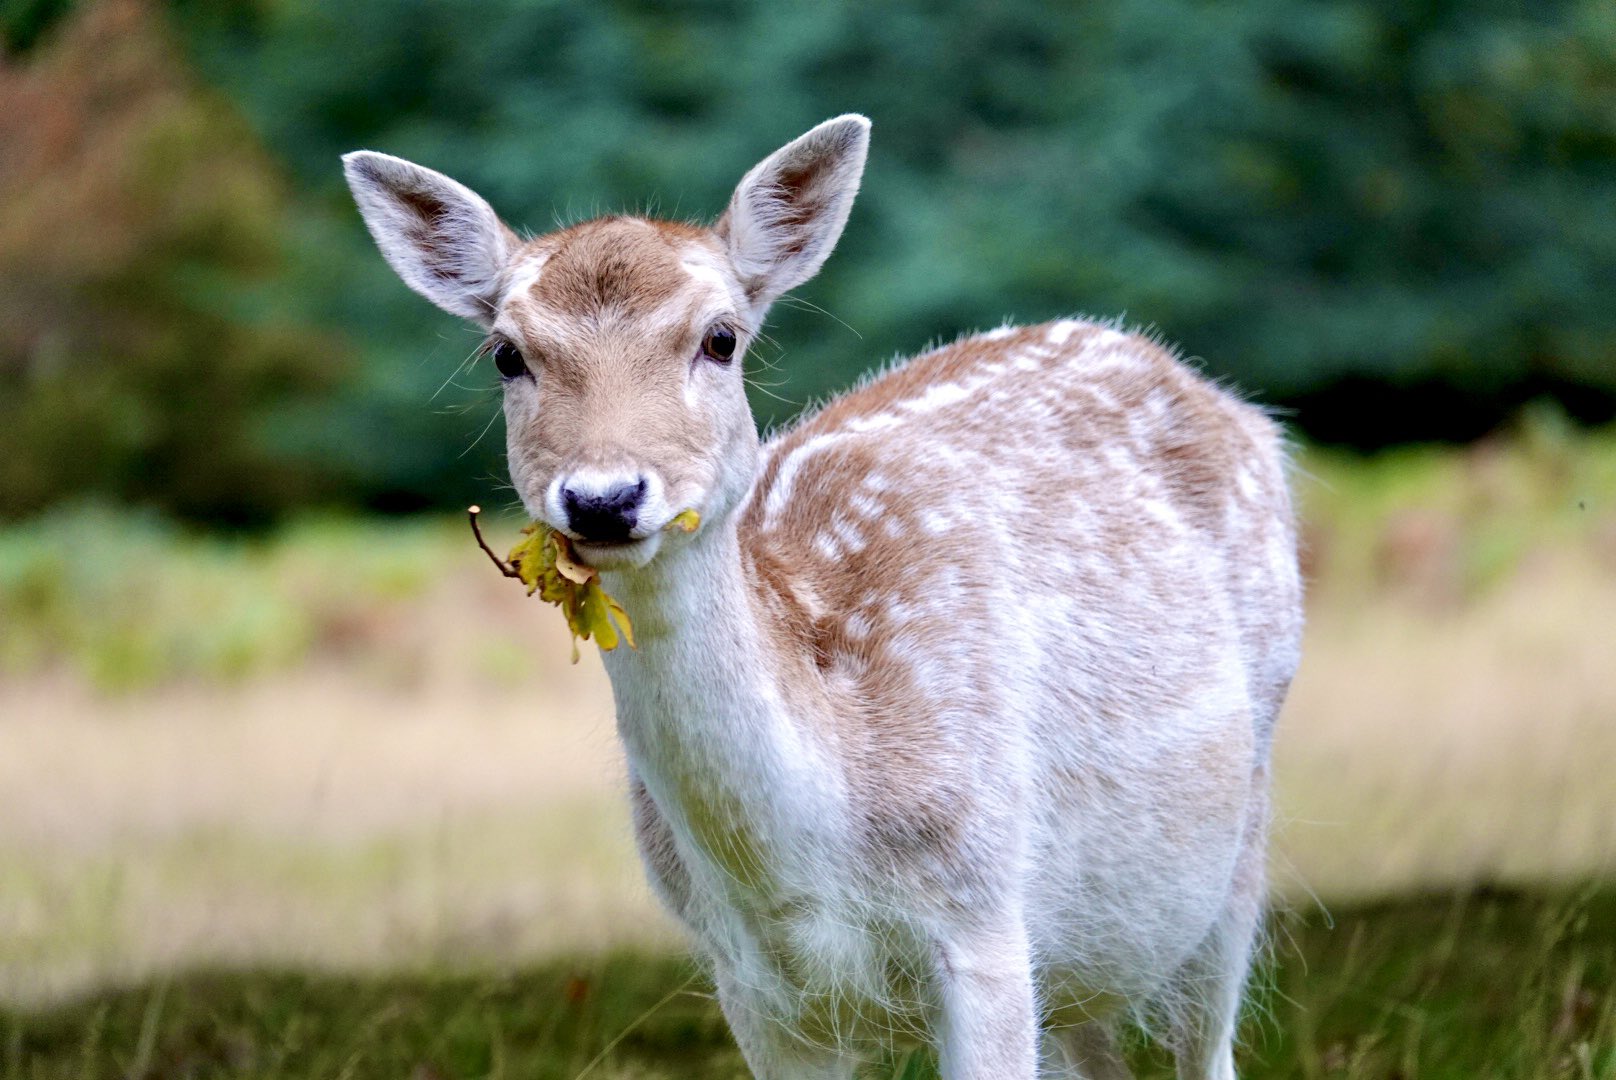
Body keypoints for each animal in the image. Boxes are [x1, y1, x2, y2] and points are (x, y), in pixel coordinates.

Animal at [342, 115, 1303, 1080]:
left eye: (721, 338)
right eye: (508, 354)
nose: (604, 498)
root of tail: (1211, 388)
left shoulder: (985, 916)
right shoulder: (750, 986)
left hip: (1232, 851)